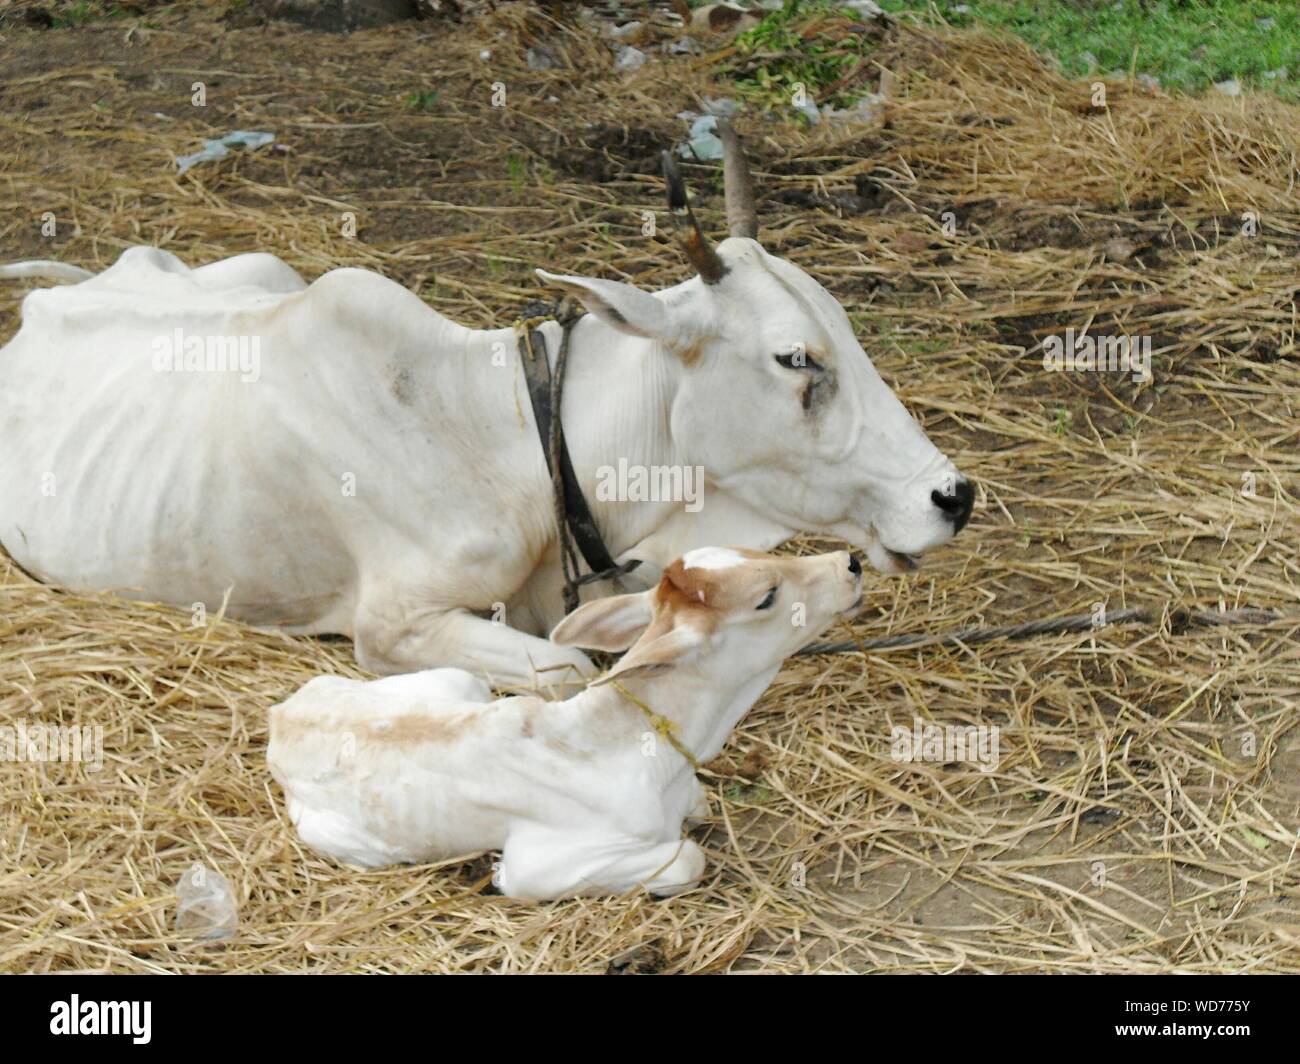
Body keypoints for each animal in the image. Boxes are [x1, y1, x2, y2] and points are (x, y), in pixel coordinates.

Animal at [0, 123, 972, 687]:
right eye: (795, 358)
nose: (953, 497)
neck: (511, 438)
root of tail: (53, 301)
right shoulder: (394, 627)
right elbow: (569, 670)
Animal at [267, 546, 864, 900]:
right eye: (767, 596)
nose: (850, 562)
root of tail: (282, 718)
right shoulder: (537, 865)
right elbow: (688, 859)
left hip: (459, 684)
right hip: (346, 840)